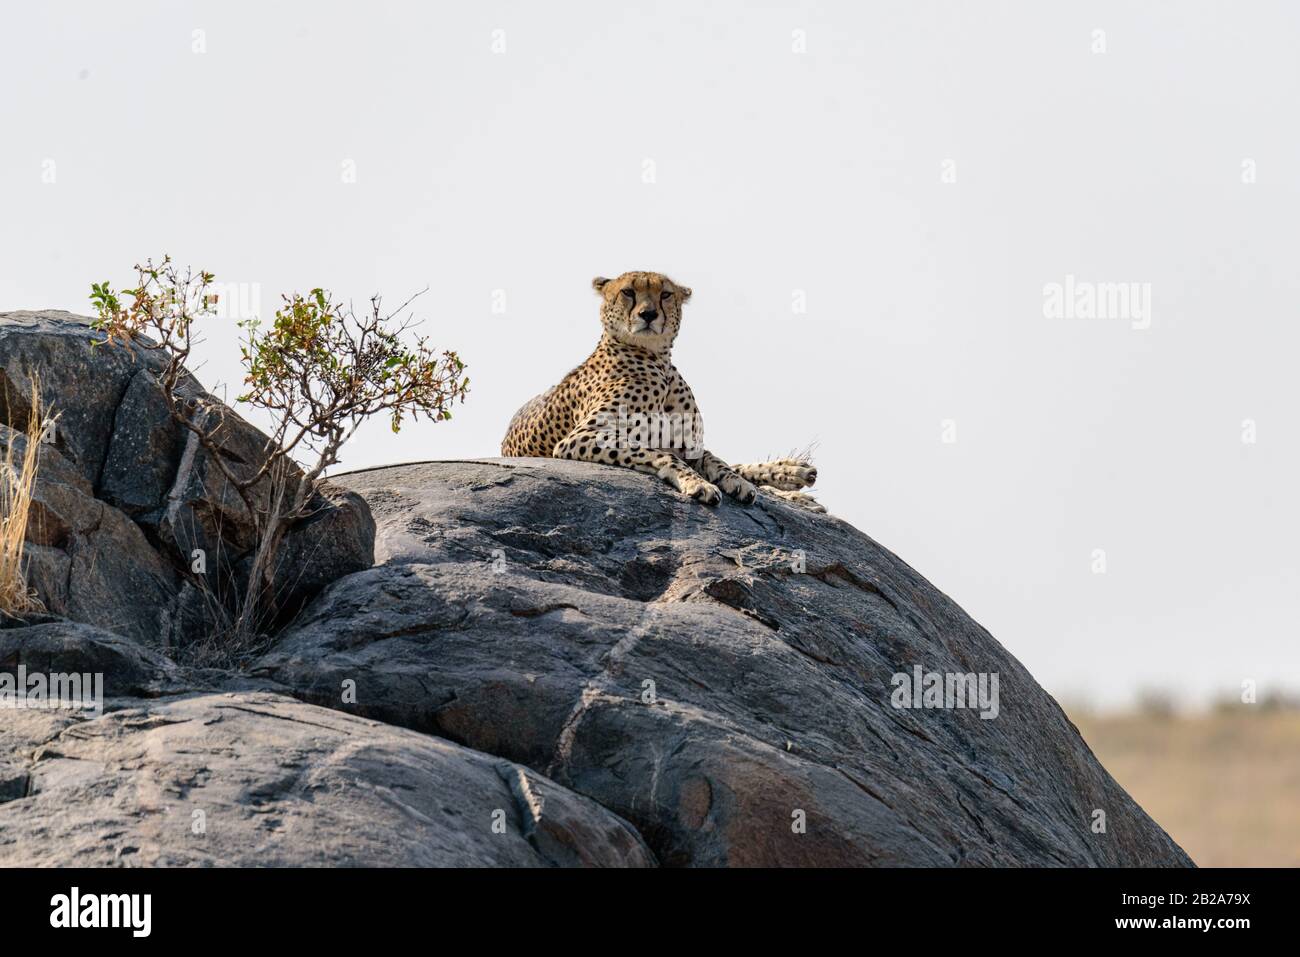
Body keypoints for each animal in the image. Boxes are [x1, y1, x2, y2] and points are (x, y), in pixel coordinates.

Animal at [500, 271, 822, 511]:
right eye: (628, 292)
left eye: (665, 294)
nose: (649, 314)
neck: (658, 360)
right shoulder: (581, 437)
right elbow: (659, 454)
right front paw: (700, 484)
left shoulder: (687, 442)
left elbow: (715, 459)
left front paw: (736, 482)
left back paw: (796, 475)